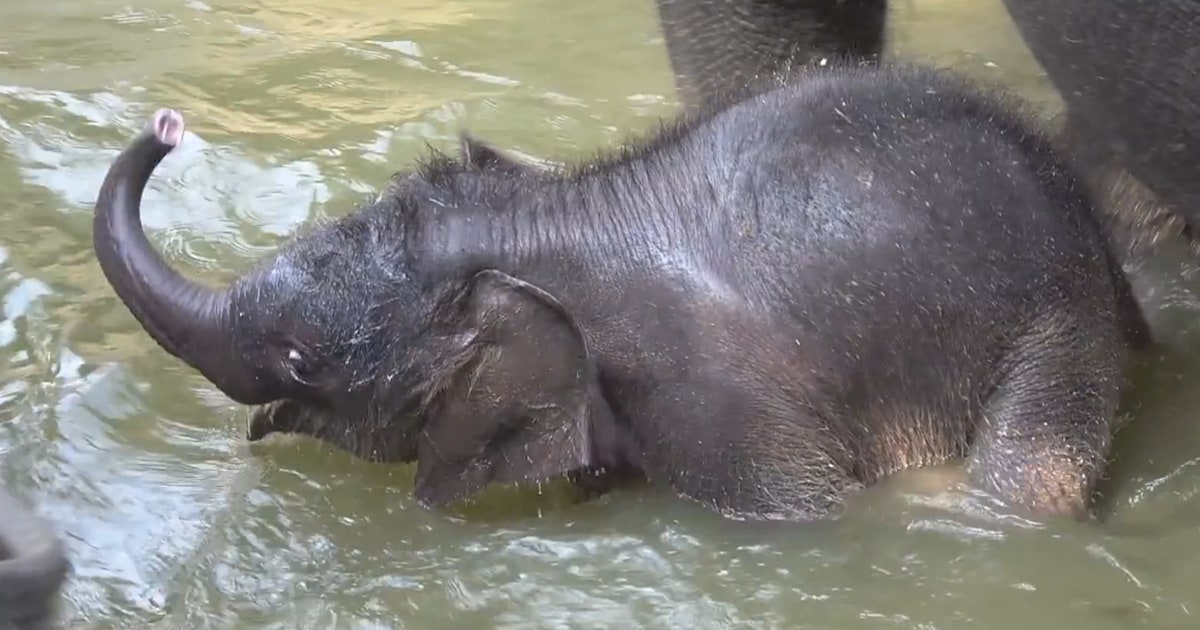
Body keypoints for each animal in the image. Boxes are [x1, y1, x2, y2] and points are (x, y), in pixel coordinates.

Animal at [93, 63, 1150, 522]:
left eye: (302, 359)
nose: (168, 123)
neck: (544, 227)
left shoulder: (719, 406)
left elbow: (803, 512)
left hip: (1057, 320)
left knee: (1029, 478)